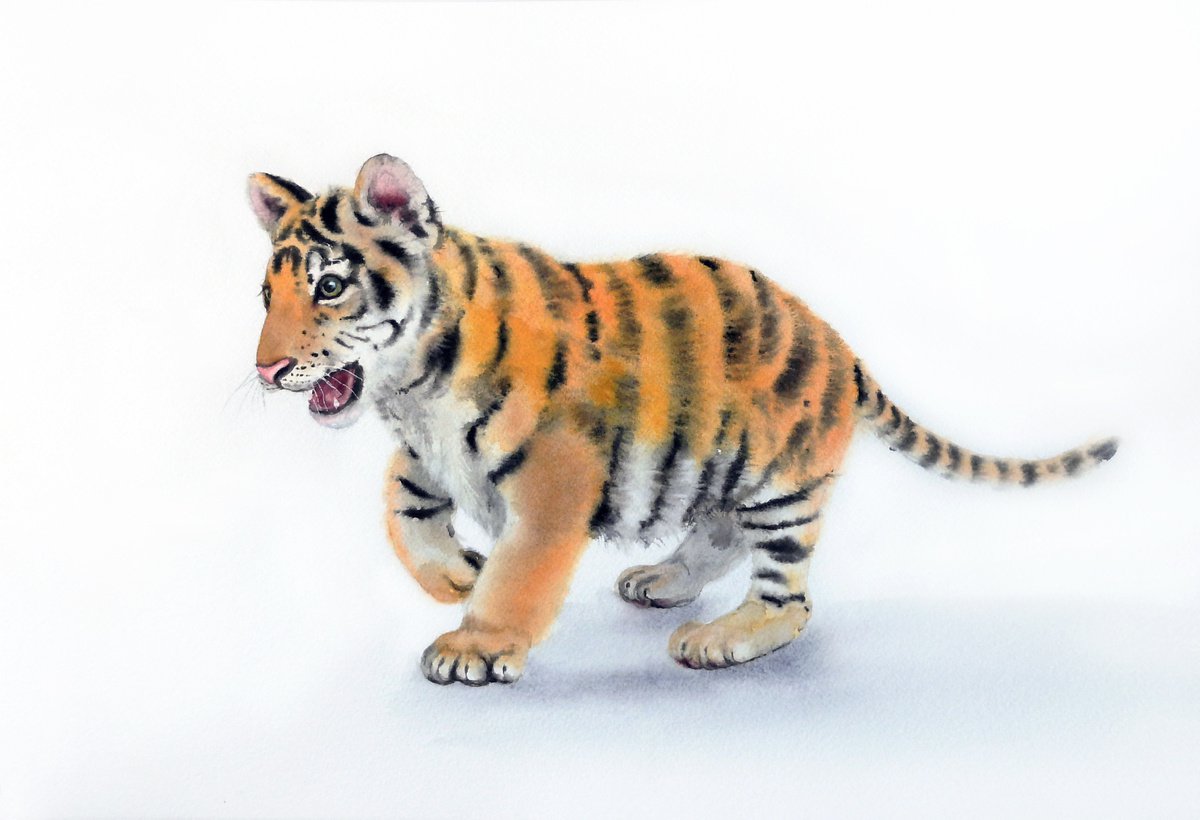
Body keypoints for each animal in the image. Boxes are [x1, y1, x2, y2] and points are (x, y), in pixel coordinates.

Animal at [248, 154, 1118, 686]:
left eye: (329, 288)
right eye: (267, 295)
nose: (266, 371)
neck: (413, 385)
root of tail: (843, 348)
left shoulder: (554, 481)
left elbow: (521, 574)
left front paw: (475, 643)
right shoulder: (431, 450)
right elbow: (402, 505)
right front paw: (455, 572)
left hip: (782, 485)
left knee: (789, 598)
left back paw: (719, 638)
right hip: (718, 469)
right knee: (721, 532)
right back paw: (662, 580)